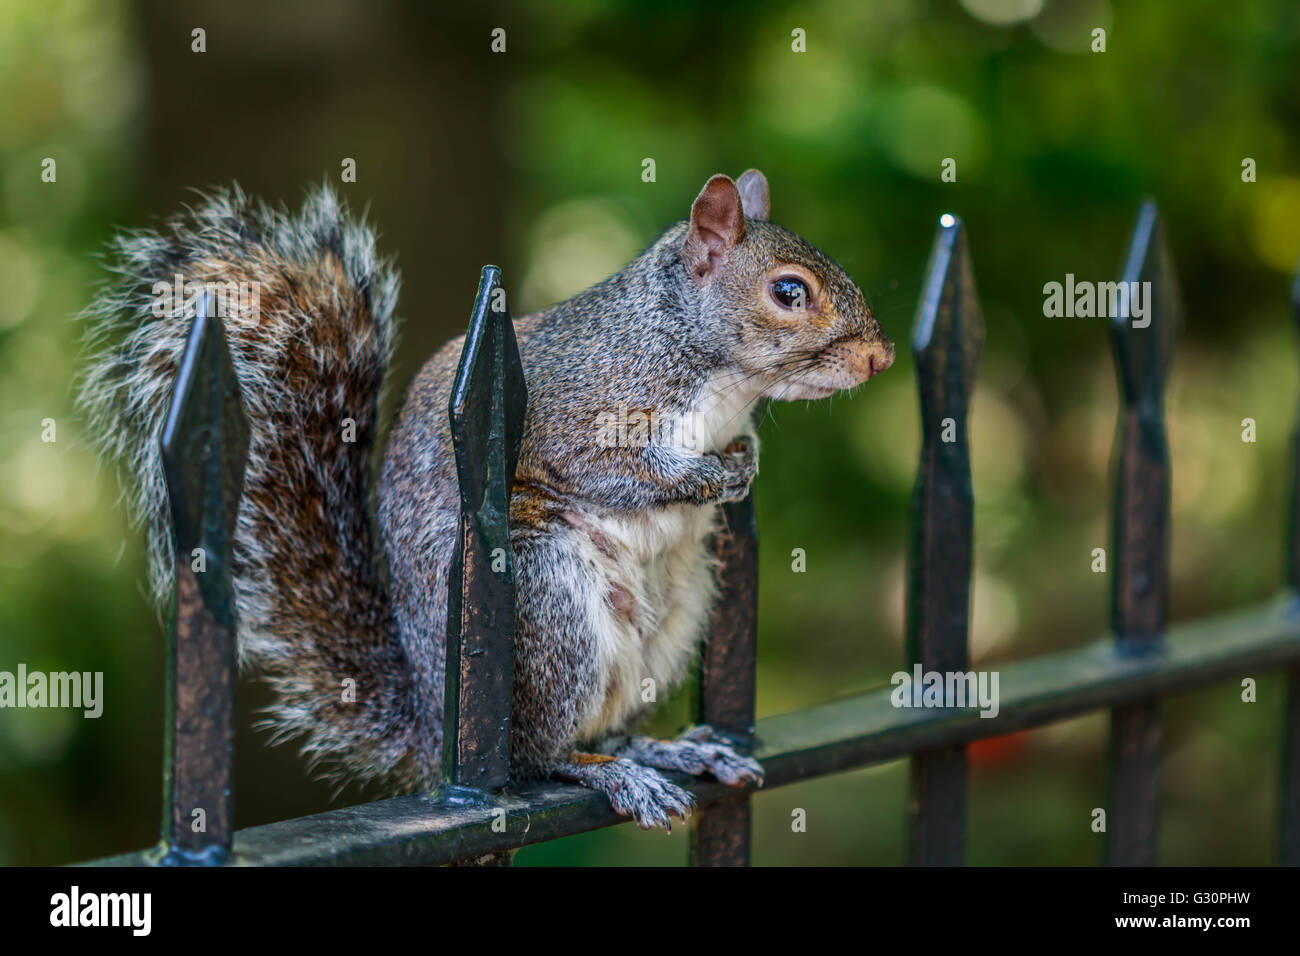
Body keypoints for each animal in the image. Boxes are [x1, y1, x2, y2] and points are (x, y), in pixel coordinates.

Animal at [78, 169, 894, 829]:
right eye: (788, 291)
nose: (880, 358)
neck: (711, 373)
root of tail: (437, 719)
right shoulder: (579, 419)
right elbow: (617, 471)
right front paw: (712, 479)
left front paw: (745, 463)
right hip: (546, 598)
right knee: (537, 756)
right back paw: (610, 773)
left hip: (674, 614)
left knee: (601, 727)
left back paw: (672, 751)